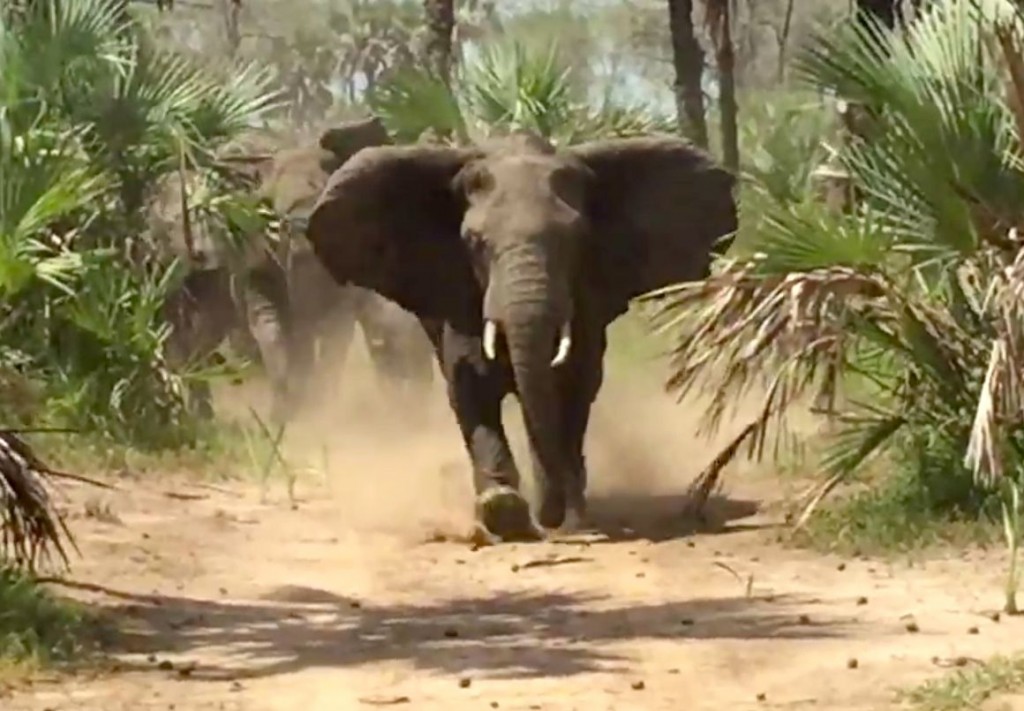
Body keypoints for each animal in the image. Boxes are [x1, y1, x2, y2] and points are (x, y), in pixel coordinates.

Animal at [147, 117, 434, 423]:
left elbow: (334, 328)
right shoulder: (253, 255)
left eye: (327, 193)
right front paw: (288, 416)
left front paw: (312, 410)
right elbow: (268, 322)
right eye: (272, 213)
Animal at [303, 131, 738, 541]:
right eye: (475, 244)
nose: (550, 516)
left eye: (576, 241)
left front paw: (567, 508)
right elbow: (468, 389)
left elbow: (573, 388)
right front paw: (503, 509)